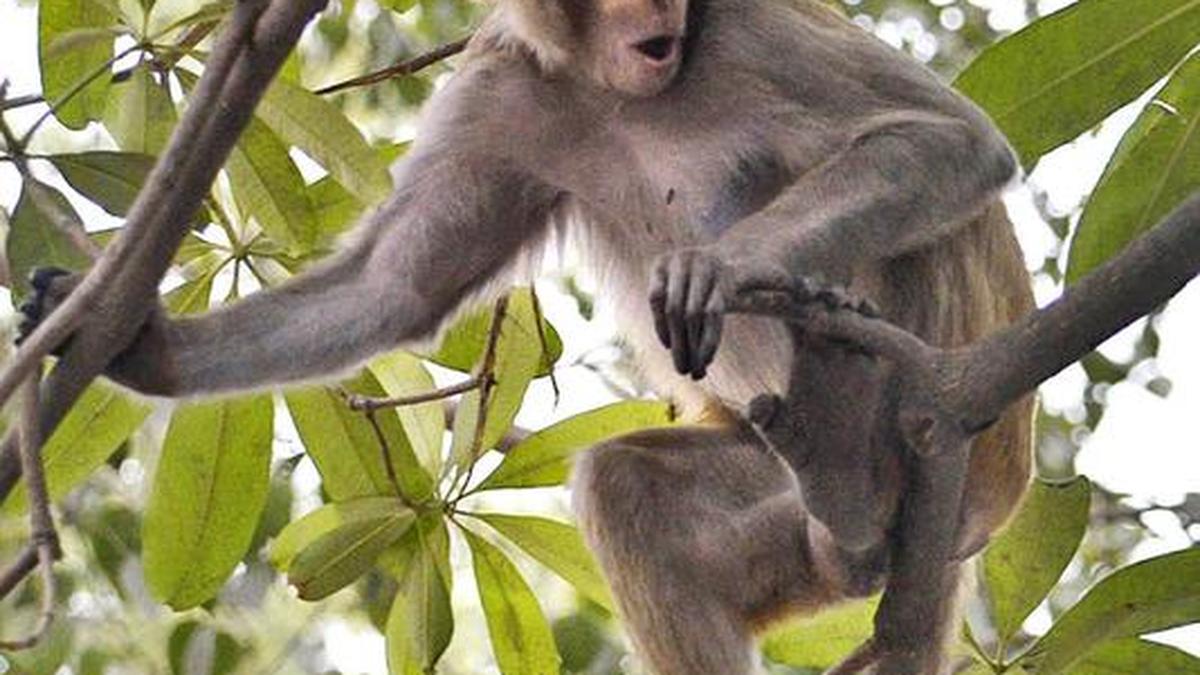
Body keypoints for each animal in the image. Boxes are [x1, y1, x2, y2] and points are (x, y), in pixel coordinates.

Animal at [19, 0, 1035, 672]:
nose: (667, 14)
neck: (610, 83)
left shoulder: (746, 24)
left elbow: (954, 141)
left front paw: (726, 262)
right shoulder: (500, 90)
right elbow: (392, 289)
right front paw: (140, 347)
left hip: (966, 443)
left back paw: (863, 456)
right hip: (773, 482)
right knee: (632, 488)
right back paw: (848, 517)